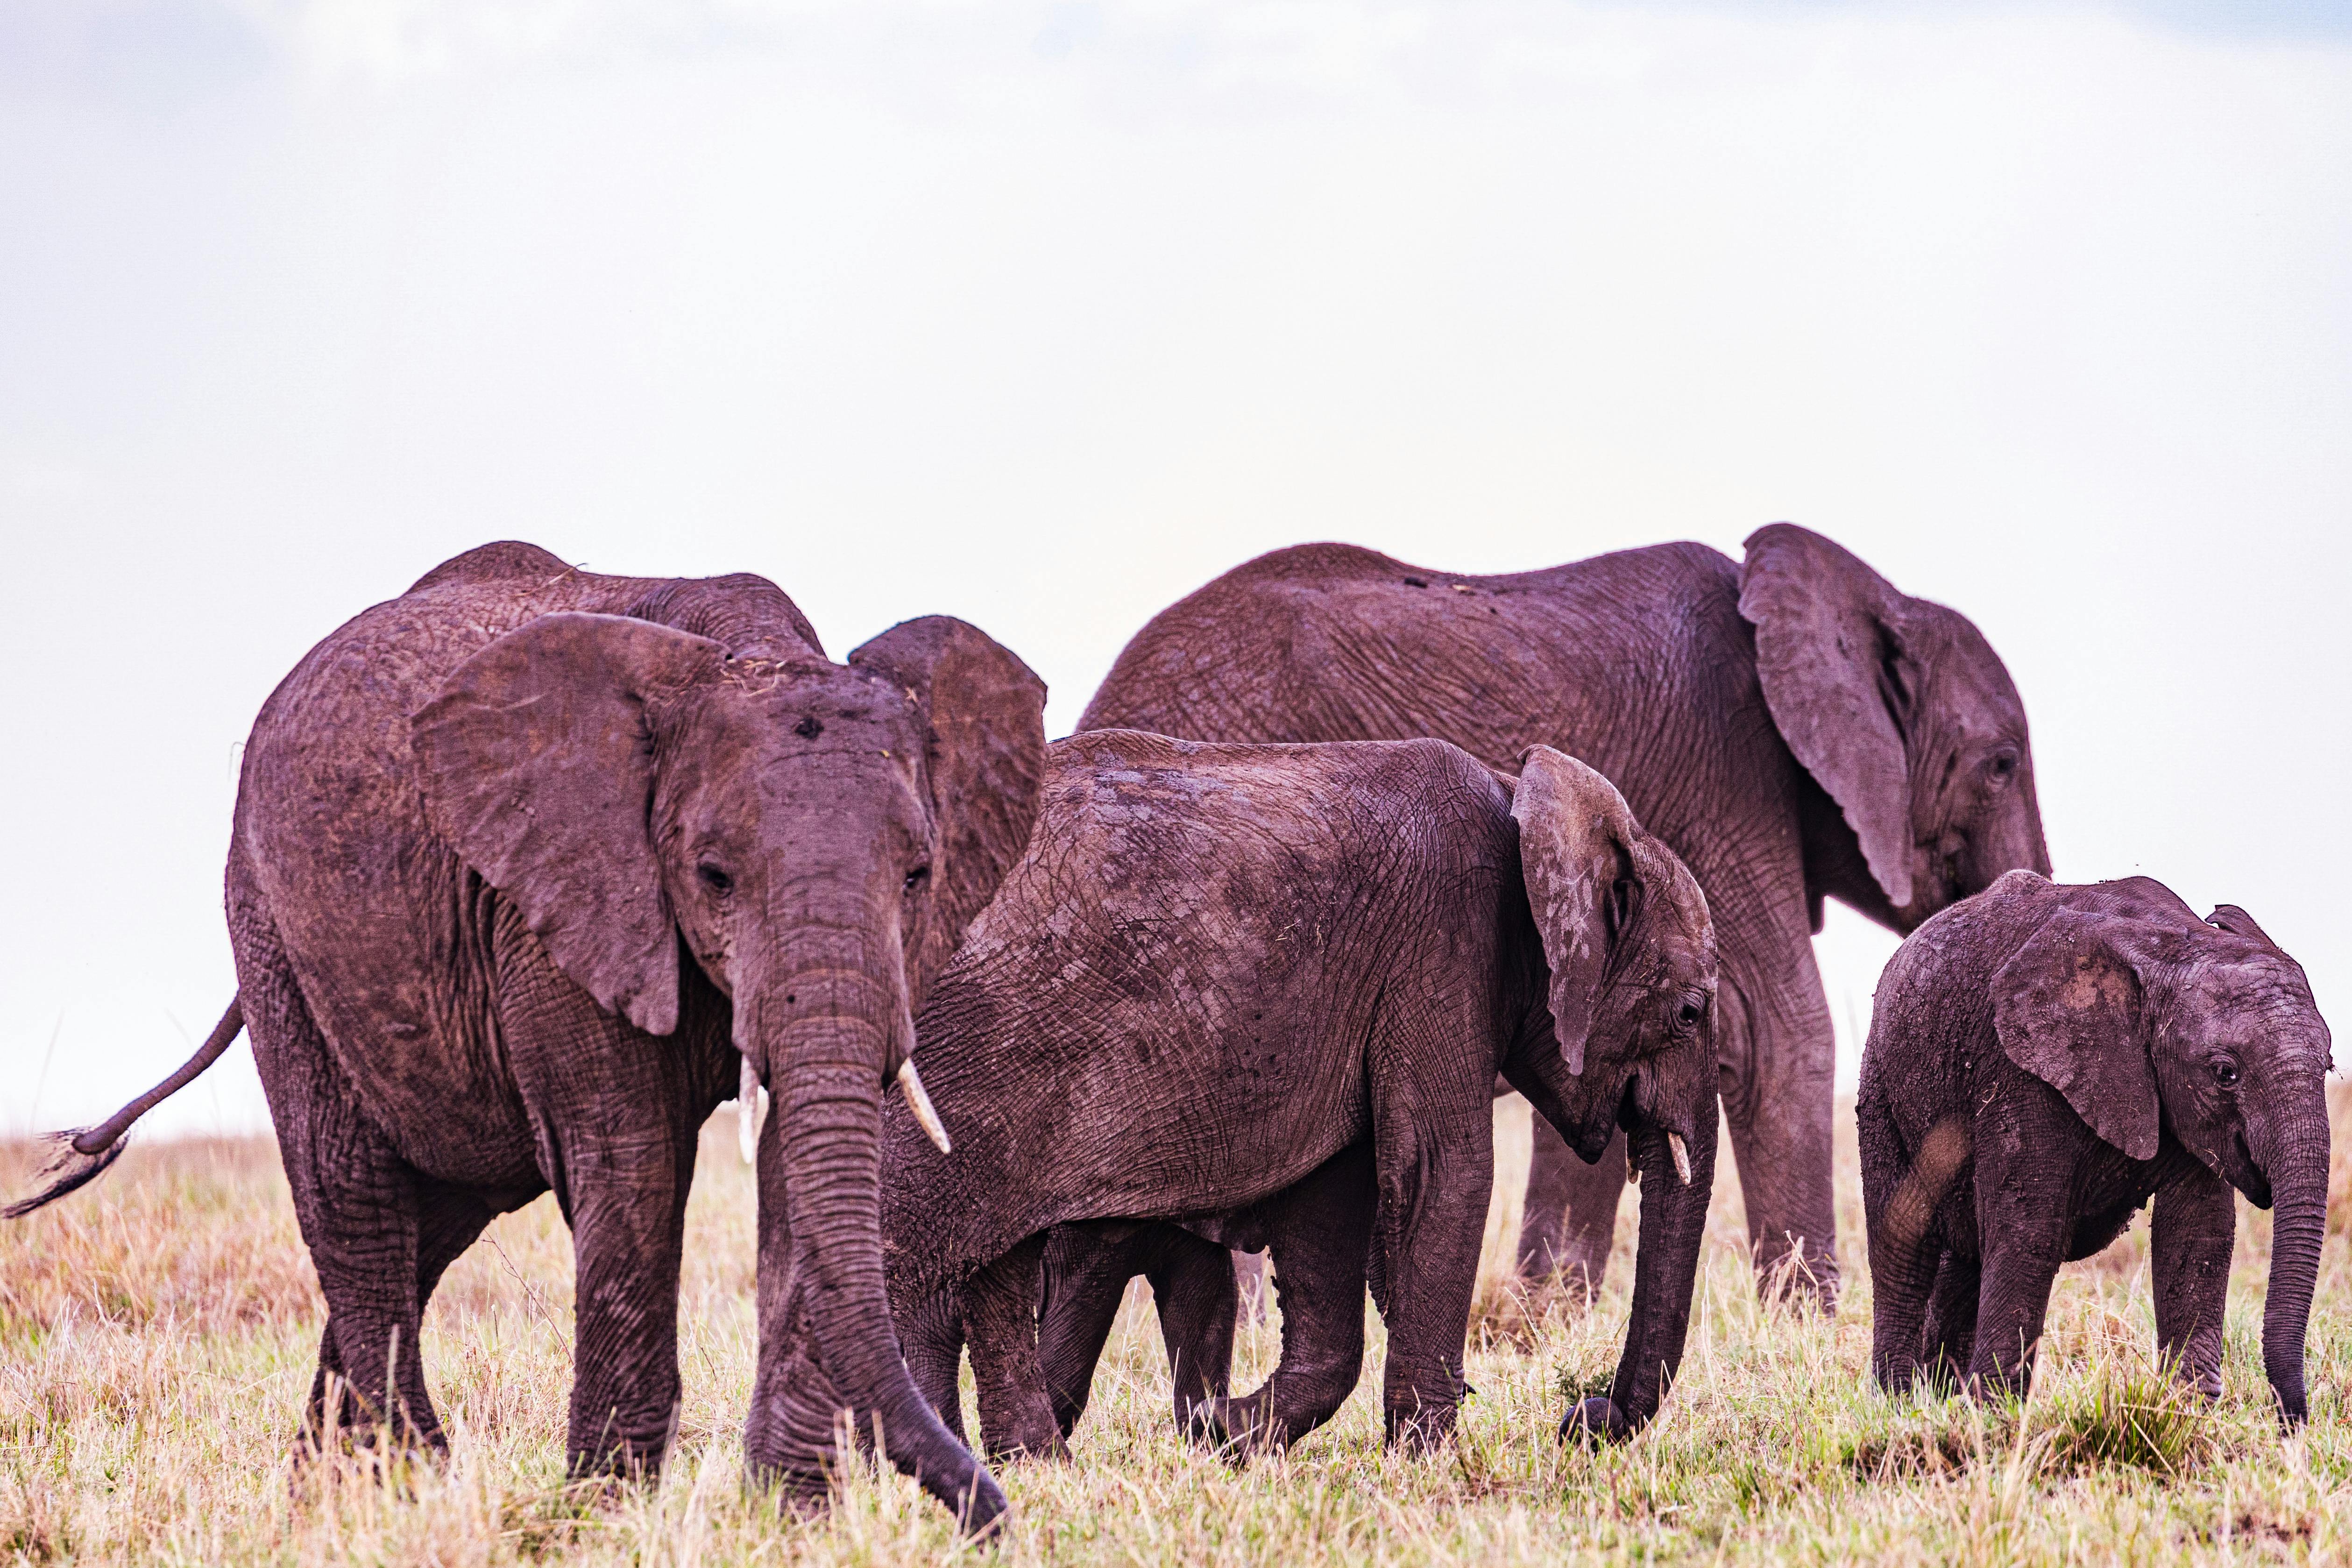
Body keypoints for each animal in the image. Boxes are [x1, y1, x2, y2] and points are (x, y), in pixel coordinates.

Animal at [5, 541, 1046, 1530]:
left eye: (918, 874)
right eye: (712, 874)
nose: (990, 1519)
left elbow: (797, 1165)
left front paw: (789, 1519)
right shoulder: (554, 899)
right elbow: (628, 1162)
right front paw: (604, 1515)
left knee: (428, 1228)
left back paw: (320, 1501)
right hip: (272, 928)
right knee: (357, 1206)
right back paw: (410, 1492)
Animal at [880, 730, 1721, 1459]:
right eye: (1689, 1011)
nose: (1581, 1416)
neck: (1526, 802)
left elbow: (1331, 1198)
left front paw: (1223, 1432)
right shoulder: (1445, 945)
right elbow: (1442, 1171)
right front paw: (1429, 1465)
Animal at [1859, 872, 2331, 1421]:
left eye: (2329, 1064)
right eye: (2224, 1073)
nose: (2292, 1424)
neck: (2174, 944)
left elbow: (2198, 1236)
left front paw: (2186, 1415)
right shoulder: (2021, 1070)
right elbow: (2030, 1229)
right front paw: (1998, 1418)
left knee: (1966, 1255)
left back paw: (1939, 1399)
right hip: (1882, 1081)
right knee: (1904, 1243)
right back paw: (1896, 1405)